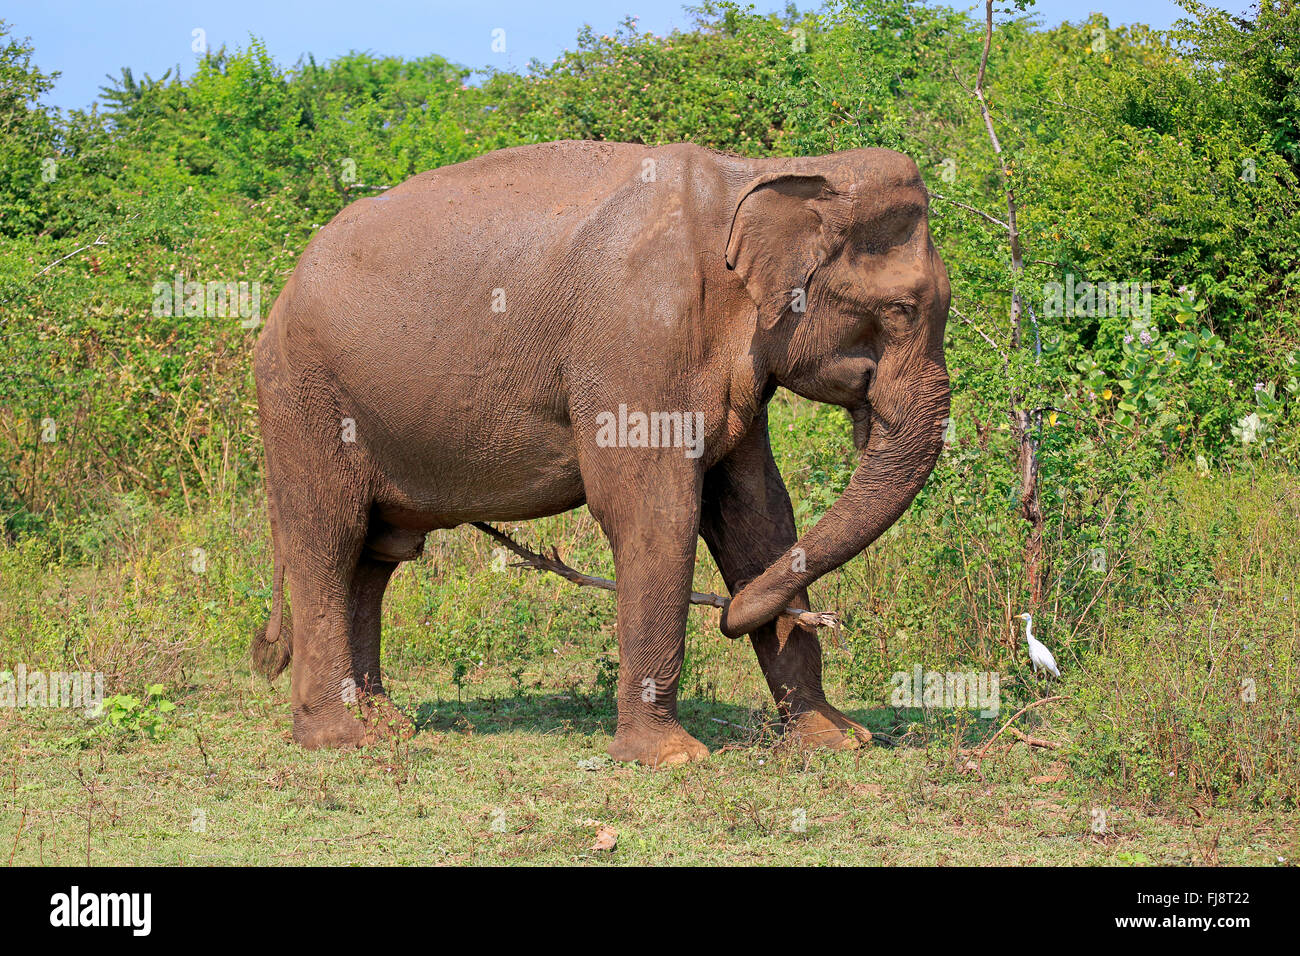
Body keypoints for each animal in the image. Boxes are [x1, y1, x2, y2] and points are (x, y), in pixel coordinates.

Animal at [251, 139, 951, 766]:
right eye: (900, 310)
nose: (730, 615)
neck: (761, 172)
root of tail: (277, 300)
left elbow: (758, 515)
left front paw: (838, 740)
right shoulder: (639, 339)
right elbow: (654, 513)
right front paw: (672, 758)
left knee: (376, 557)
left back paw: (388, 725)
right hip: (305, 402)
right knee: (328, 540)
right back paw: (341, 738)